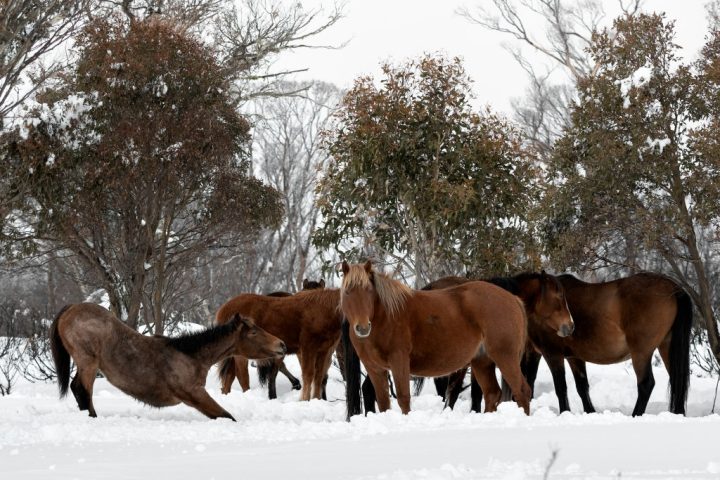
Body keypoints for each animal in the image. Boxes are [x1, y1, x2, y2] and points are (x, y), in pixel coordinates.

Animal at [49, 303, 286, 420]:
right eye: (253, 332)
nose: (282, 345)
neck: (191, 356)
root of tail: (70, 310)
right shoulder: (194, 394)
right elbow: (226, 416)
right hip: (88, 362)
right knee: (83, 390)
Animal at [490, 272, 692, 416]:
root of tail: (674, 288)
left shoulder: (551, 354)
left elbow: (560, 387)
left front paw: (565, 413)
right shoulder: (573, 357)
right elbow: (582, 387)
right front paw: (590, 412)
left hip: (641, 353)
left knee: (646, 384)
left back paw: (636, 415)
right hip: (666, 347)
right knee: (677, 380)